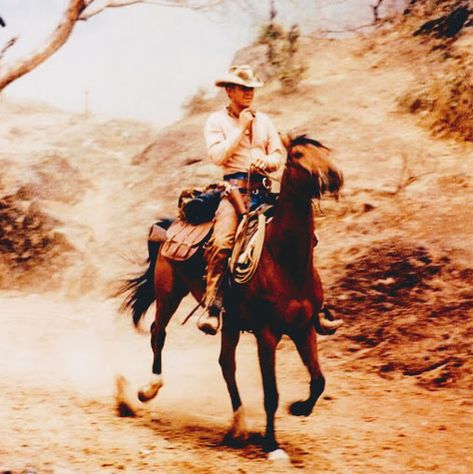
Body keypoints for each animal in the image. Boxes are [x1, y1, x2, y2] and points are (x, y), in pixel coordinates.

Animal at [116, 135, 342, 462]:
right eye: (299, 155)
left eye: (325, 152)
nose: (334, 177)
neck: (285, 260)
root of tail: (170, 224)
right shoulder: (267, 334)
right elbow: (271, 394)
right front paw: (273, 445)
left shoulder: (304, 328)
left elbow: (318, 380)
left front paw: (300, 408)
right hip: (168, 291)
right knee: (159, 333)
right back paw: (149, 389)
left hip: (231, 320)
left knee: (226, 364)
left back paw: (238, 426)